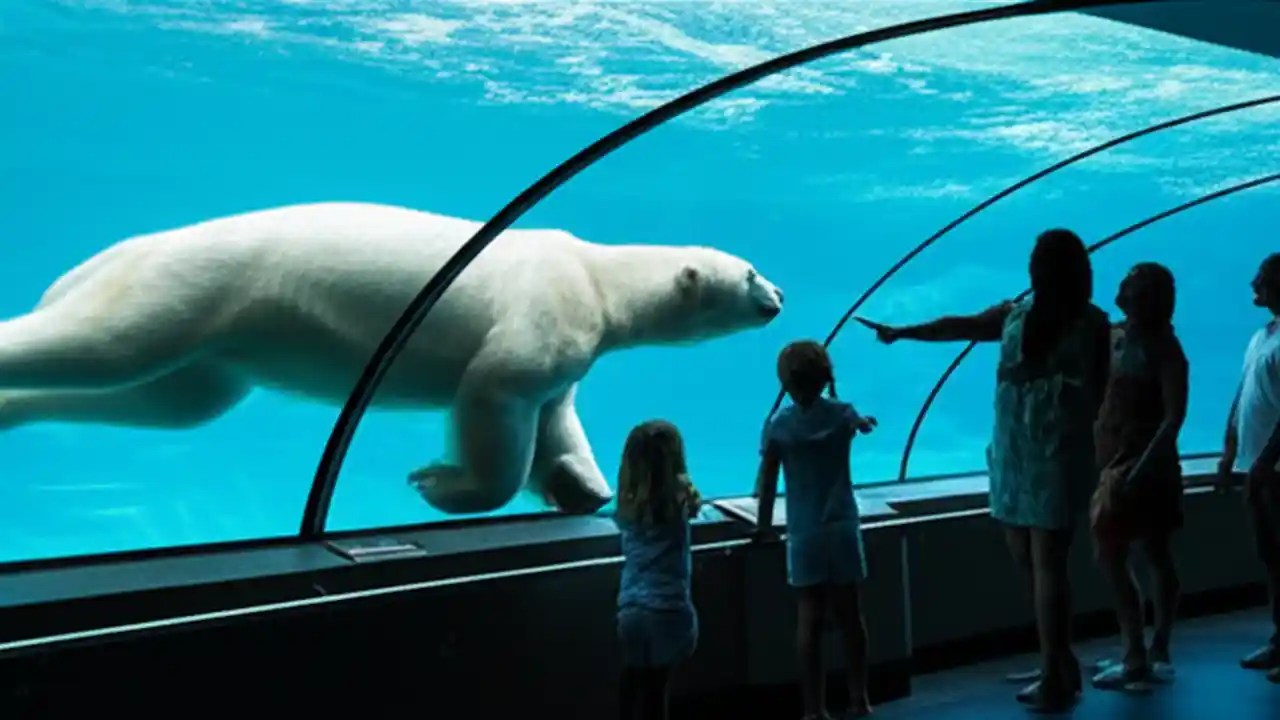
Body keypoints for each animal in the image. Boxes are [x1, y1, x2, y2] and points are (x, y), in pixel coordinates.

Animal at [0, 202, 784, 516]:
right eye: (749, 272)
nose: (779, 294)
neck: (598, 274)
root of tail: (111, 254)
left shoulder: (573, 343)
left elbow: (556, 415)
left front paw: (580, 486)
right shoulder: (549, 304)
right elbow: (497, 390)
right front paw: (442, 483)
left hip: (218, 342)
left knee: (168, 399)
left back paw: (11, 411)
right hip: (195, 277)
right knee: (111, 343)